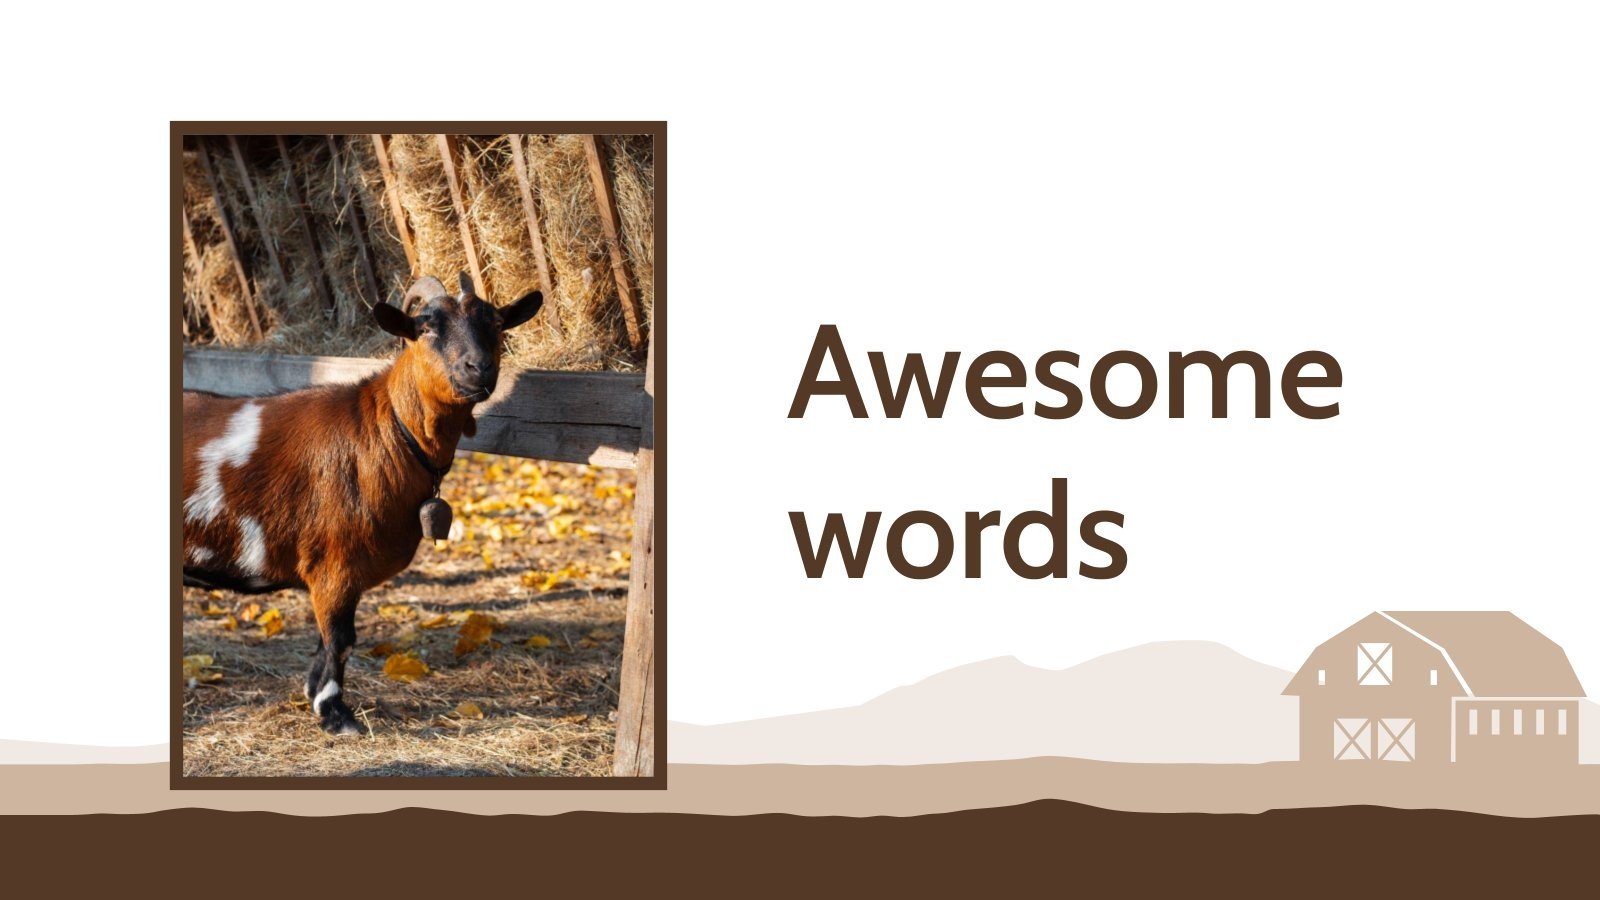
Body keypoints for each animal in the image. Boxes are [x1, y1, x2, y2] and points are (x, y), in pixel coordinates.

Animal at [182, 274, 543, 734]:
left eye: (497, 323)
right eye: (426, 327)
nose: (479, 368)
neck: (385, 432)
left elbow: (326, 641)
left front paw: (313, 694)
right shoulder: (334, 565)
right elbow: (341, 640)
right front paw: (336, 714)